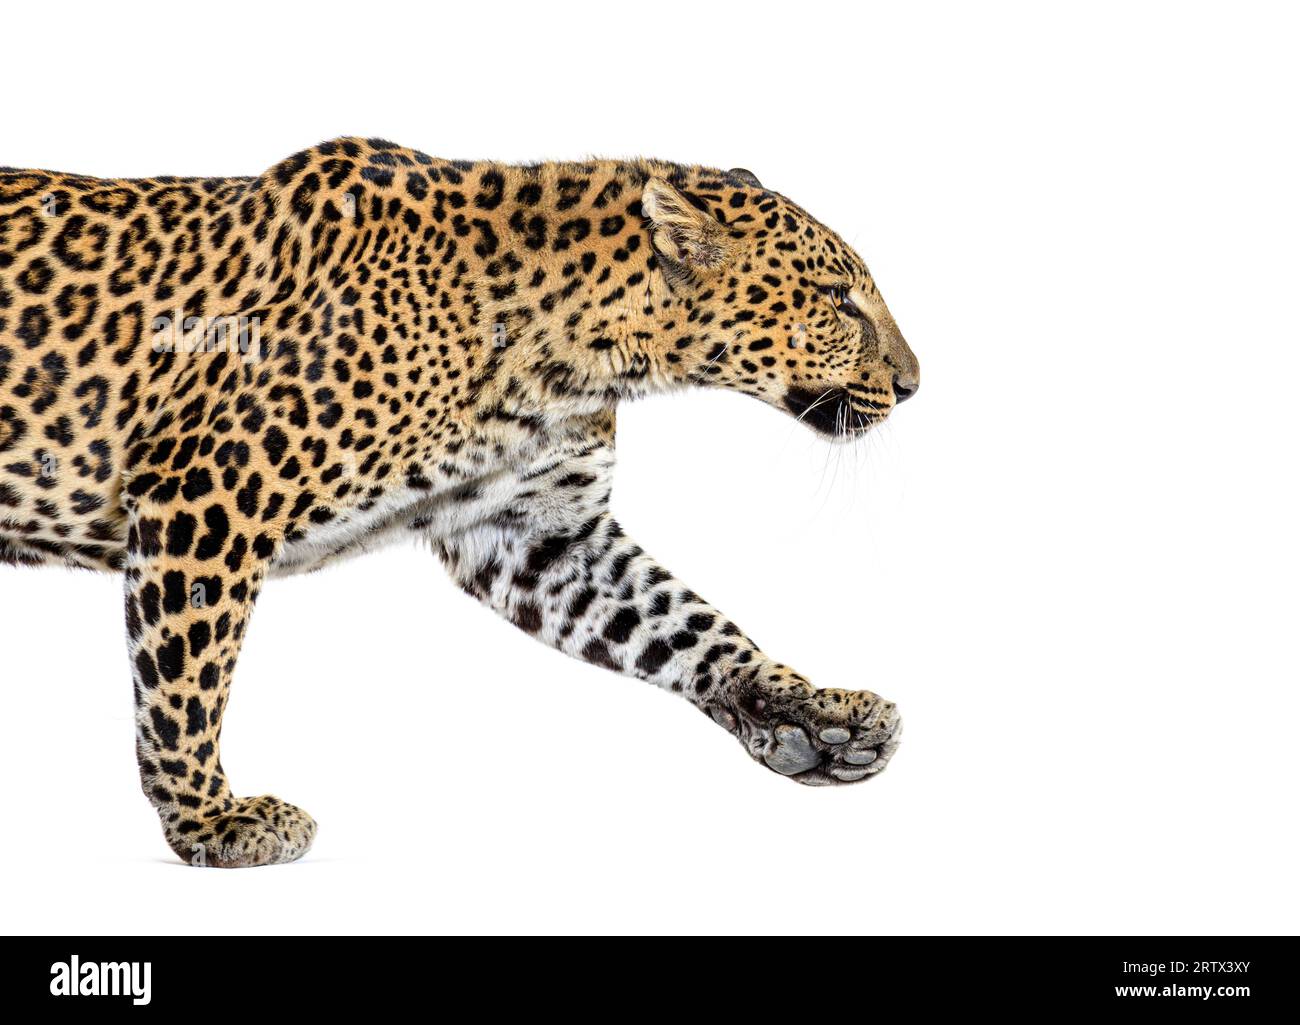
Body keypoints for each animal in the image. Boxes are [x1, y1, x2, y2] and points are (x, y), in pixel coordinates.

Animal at [0, 138, 920, 867]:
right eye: (837, 299)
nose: (915, 385)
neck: (576, 353)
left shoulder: (535, 532)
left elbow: (684, 623)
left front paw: (812, 716)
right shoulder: (206, 490)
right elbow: (185, 680)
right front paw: (210, 820)